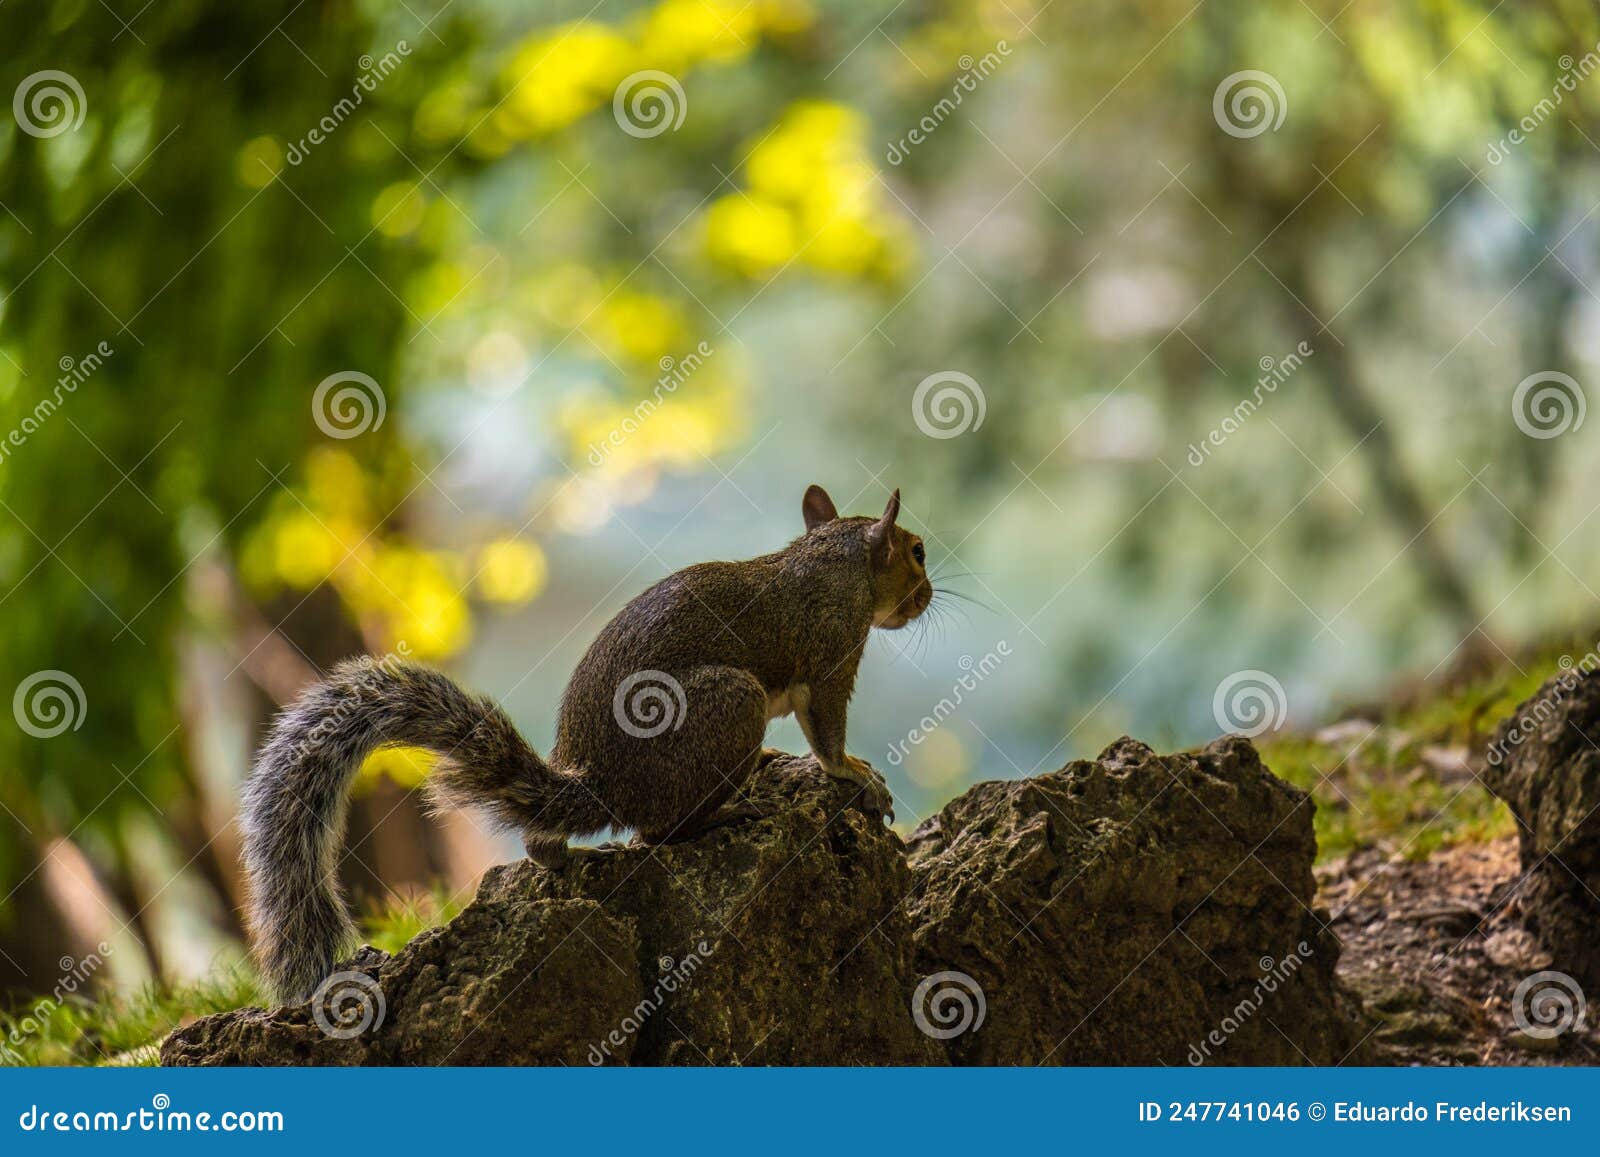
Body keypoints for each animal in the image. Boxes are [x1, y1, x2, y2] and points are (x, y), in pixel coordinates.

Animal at [241, 484, 933, 1002]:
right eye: (918, 551)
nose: (927, 598)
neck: (832, 563)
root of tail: (602, 784)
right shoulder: (830, 658)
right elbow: (828, 737)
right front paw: (856, 774)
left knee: (550, 843)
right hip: (731, 701)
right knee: (659, 832)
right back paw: (732, 808)